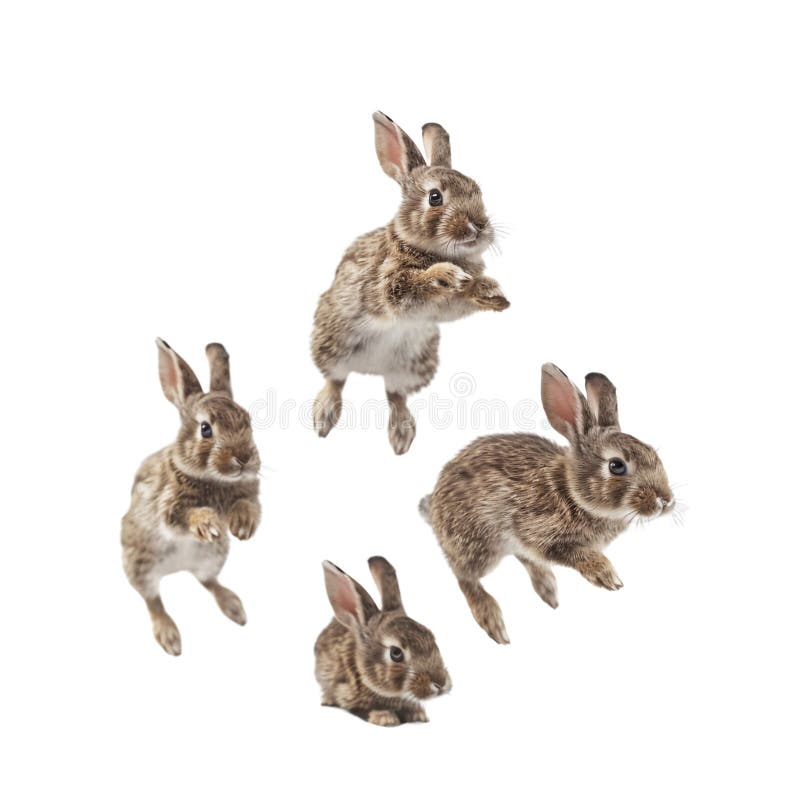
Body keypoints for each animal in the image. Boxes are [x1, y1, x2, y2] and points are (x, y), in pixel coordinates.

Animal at [121, 338, 261, 655]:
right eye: (205, 429)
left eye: (247, 420)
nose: (244, 458)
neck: (213, 478)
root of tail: (176, 569)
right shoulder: (167, 505)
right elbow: (182, 517)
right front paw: (208, 524)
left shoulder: (250, 493)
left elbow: (248, 505)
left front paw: (242, 526)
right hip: (139, 564)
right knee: (153, 599)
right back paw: (169, 637)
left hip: (213, 557)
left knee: (207, 581)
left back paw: (235, 608)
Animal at [311, 111, 509, 455]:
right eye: (435, 197)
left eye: (477, 190)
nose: (479, 227)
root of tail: (371, 369)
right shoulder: (386, 285)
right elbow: (409, 287)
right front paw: (446, 275)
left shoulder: (438, 315)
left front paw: (492, 294)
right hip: (331, 344)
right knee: (336, 379)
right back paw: (324, 416)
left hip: (414, 363)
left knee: (395, 394)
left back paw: (401, 435)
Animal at [420, 363, 675, 644]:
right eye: (616, 466)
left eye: (652, 452)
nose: (666, 500)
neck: (571, 492)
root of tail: (433, 509)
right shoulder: (540, 532)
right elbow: (573, 553)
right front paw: (606, 575)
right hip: (478, 544)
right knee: (465, 577)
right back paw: (493, 620)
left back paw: (548, 589)